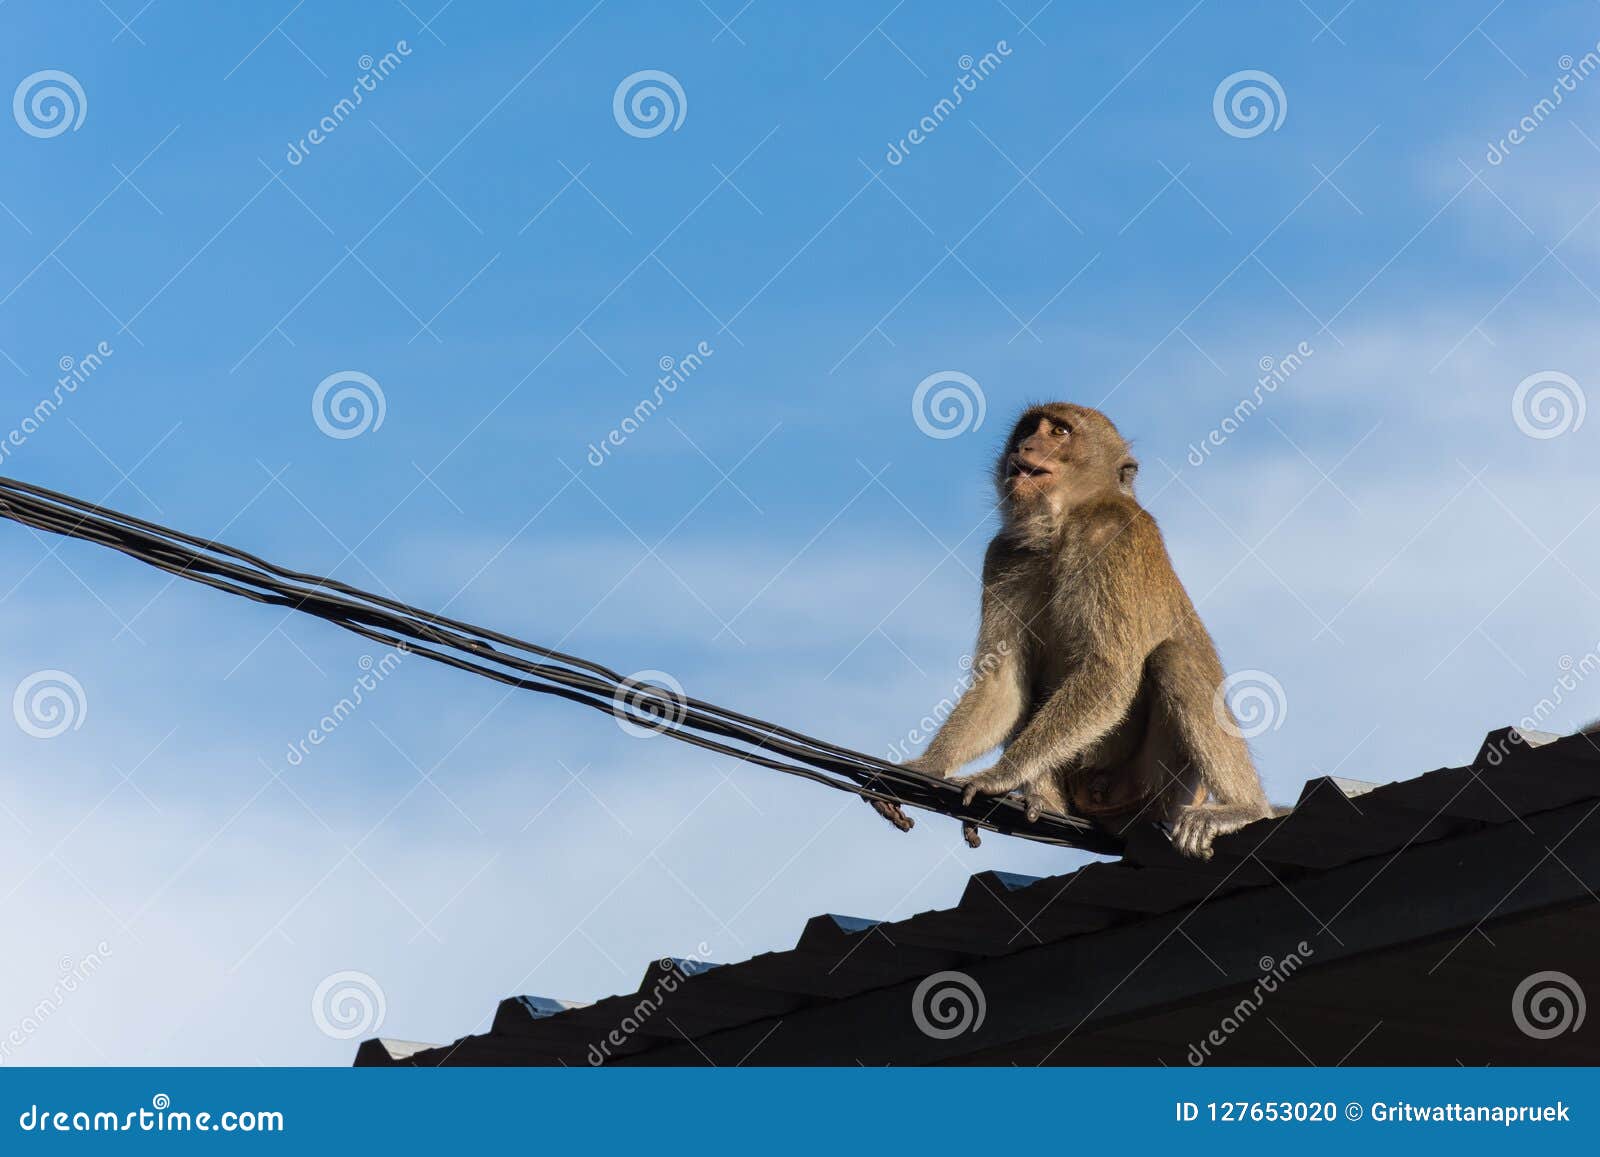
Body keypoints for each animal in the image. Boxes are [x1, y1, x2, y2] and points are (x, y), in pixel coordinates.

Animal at [872, 402, 1273, 859]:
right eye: (1029, 429)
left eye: (1060, 432)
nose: (1026, 445)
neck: (1060, 528)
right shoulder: (1003, 554)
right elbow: (1003, 682)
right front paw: (927, 767)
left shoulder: (1113, 536)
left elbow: (1109, 671)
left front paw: (998, 775)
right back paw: (1044, 800)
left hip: (1158, 790)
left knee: (1171, 657)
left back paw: (1244, 807)